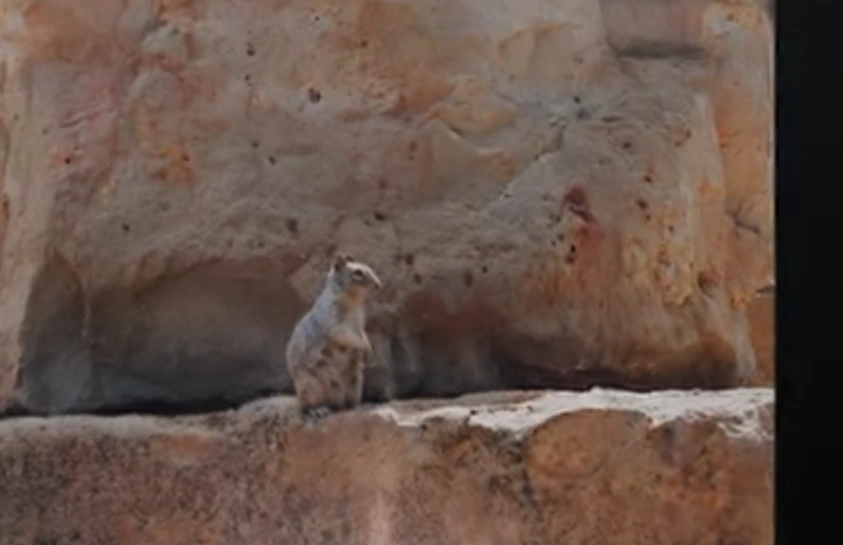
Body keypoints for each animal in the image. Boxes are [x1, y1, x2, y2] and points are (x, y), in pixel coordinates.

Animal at [285, 254, 383, 418]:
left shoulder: (359, 323)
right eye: (358, 273)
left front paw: (367, 347)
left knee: (346, 402)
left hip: (355, 382)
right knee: (307, 406)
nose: (379, 285)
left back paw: (356, 405)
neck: (353, 301)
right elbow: (341, 333)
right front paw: (364, 348)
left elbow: (362, 333)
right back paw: (318, 409)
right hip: (311, 384)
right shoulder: (333, 318)